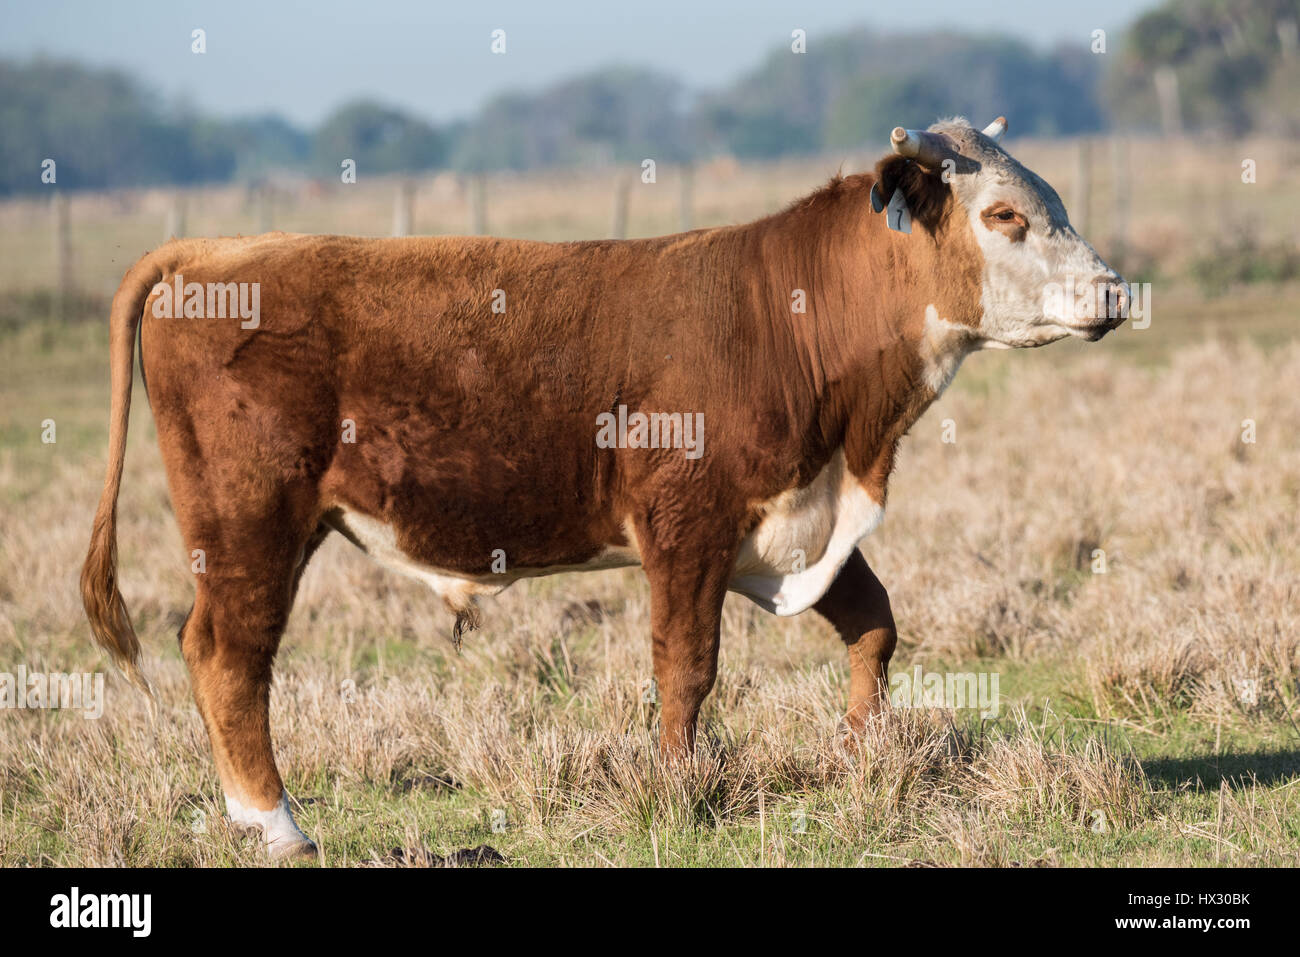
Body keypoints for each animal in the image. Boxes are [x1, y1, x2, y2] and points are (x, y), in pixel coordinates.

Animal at [82, 117, 1127, 858]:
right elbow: (687, 667)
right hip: (252, 521)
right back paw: (276, 826)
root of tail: (212, 250)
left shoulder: (787, 527)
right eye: (1005, 216)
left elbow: (874, 624)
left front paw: (863, 755)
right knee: (228, 655)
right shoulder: (686, 528)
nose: (1115, 291)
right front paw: (677, 790)